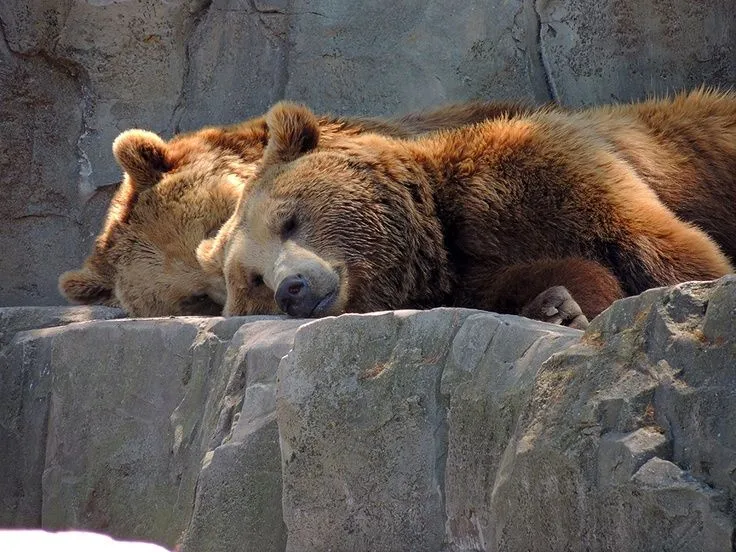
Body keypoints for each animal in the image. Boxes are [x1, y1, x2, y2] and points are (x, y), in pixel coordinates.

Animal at [207, 89, 736, 324]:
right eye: (253, 279)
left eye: (290, 220)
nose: (291, 289)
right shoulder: (476, 275)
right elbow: (560, 275)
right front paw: (557, 306)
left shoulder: (552, 169)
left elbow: (671, 250)